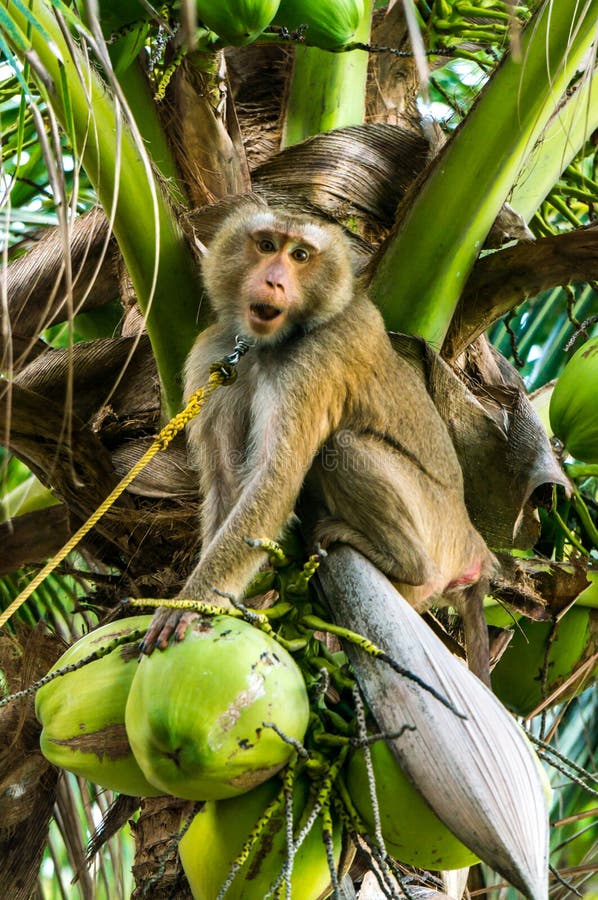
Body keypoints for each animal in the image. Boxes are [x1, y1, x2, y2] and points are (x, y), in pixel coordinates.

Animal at [142, 198, 494, 683]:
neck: (272, 343)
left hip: (437, 527)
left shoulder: (315, 360)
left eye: (300, 256)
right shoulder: (215, 349)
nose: (274, 280)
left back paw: (405, 563)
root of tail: (473, 548)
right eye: (266, 245)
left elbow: (276, 479)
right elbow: (226, 481)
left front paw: (191, 601)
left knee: (342, 446)